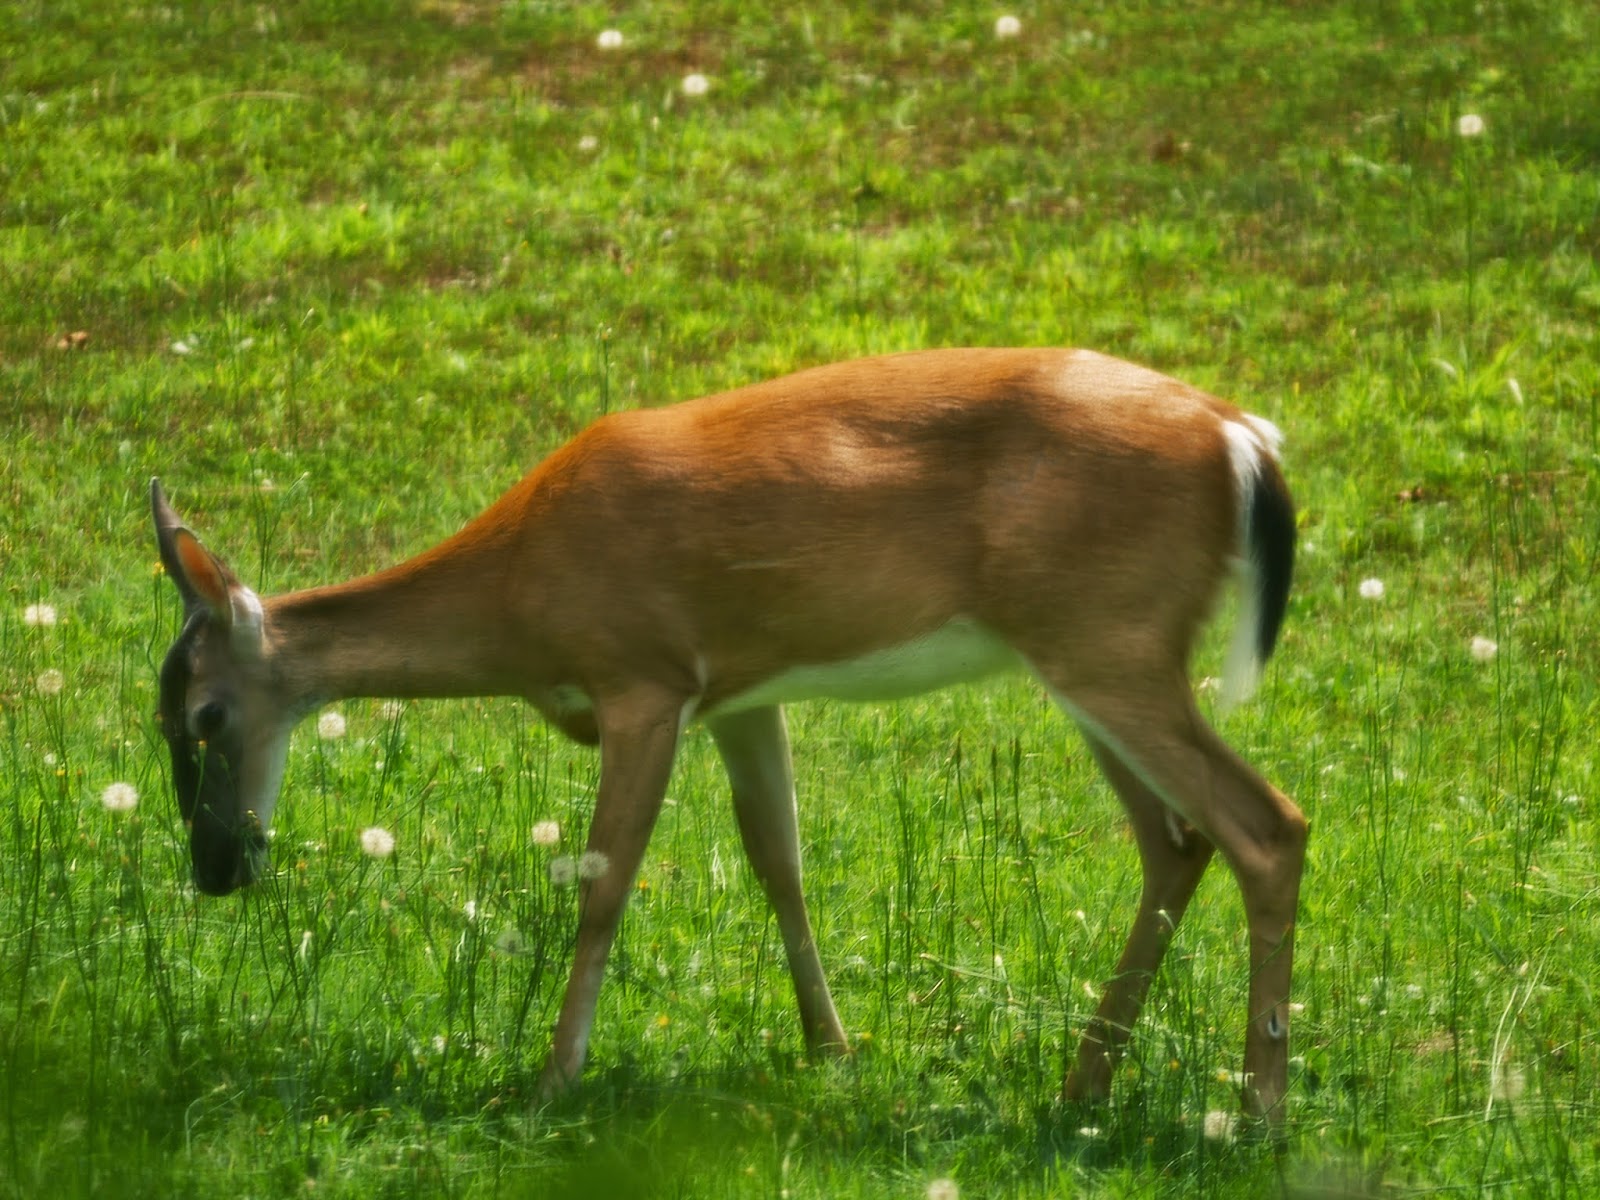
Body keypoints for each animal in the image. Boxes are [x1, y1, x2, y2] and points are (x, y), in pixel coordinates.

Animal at [150, 347, 1303, 1124]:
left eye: (204, 715)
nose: (215, 868)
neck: (521, 590)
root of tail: (1242, 436)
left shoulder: (643, 679)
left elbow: (603, 884)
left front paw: (550, 1081)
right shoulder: (744, 696)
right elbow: (777, 861)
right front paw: (831, 1051)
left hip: (1109, 644)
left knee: (1266, 826)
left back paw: (1256, 1113)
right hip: (1085, 656)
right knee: (1176, 842)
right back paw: (1080, 1087)